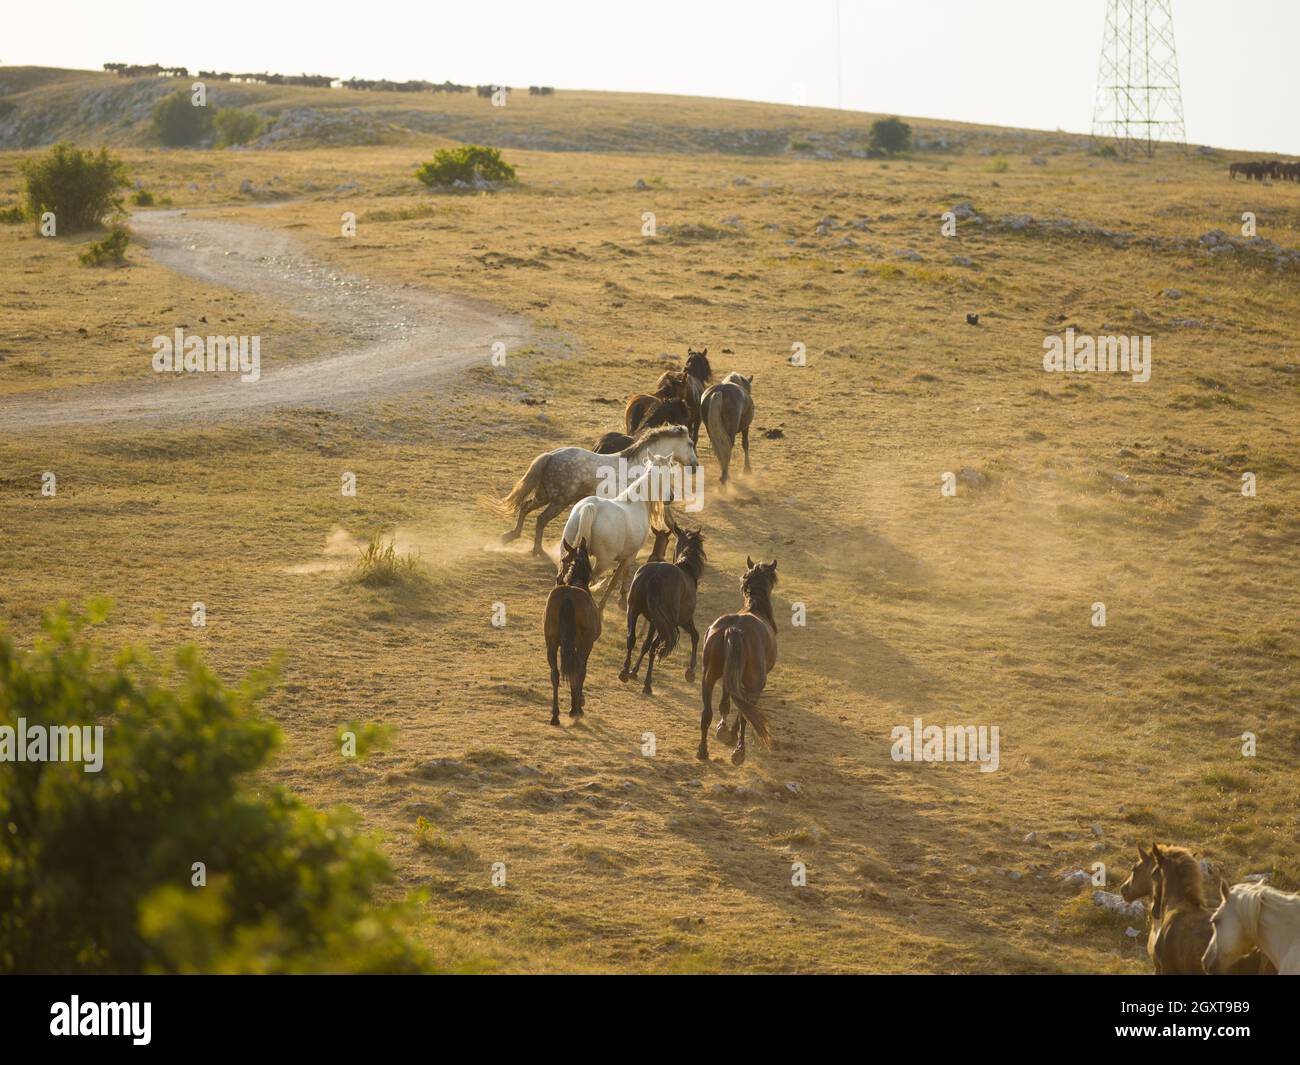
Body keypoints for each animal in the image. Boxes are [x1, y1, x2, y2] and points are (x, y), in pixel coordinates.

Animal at [493, 425, 698, 556]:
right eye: (690, 443)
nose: (695, 466)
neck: (643, 463)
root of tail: (551, 455)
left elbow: (670, 521)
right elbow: (670, 521)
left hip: (544, 495)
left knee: (525, 507)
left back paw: (509, 536)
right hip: (559, 501)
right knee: (541, 519)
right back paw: (537, 550)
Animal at [543, 539, 602, 727]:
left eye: (563, 560)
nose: (557, 578)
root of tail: (568, 594)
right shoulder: (586, 645)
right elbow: (579, 672)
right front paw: (578, 705)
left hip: (551, 643)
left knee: (555, 674)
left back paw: (555, 716)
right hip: (584, 644)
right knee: (578, 671)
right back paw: (574, 710)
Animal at [558, 457, 676, 612]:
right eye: (670, 473)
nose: (671, 497)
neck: (637, 503)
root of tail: (590, 507)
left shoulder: (626, 554)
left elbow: (623, 573)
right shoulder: (631, 555)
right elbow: (617, 578)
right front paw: (616, 602)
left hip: (566, 553)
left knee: (561, 577)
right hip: (603, 562)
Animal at [619, 525, 706, 695]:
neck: (687, 571)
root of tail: (654, 576)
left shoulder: (653, 620)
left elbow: (645, 644)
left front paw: (634, 672)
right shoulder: (684, 620)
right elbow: (695, 636)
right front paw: (690, 672)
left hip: (634, 611)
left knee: (631, 638)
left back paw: (625, 672)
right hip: (668, 623)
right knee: (655, 646)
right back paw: (647, 684)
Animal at [698, 557, 778, 765]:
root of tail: (734, 628)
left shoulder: (730, 676)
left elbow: (725, 703)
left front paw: (722, 729)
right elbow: (742, 712)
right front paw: (730, 734)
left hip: (708, 676)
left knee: (706, 713)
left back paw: (703, 751)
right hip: (754, 685)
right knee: (745, 715)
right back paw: (739, 751)